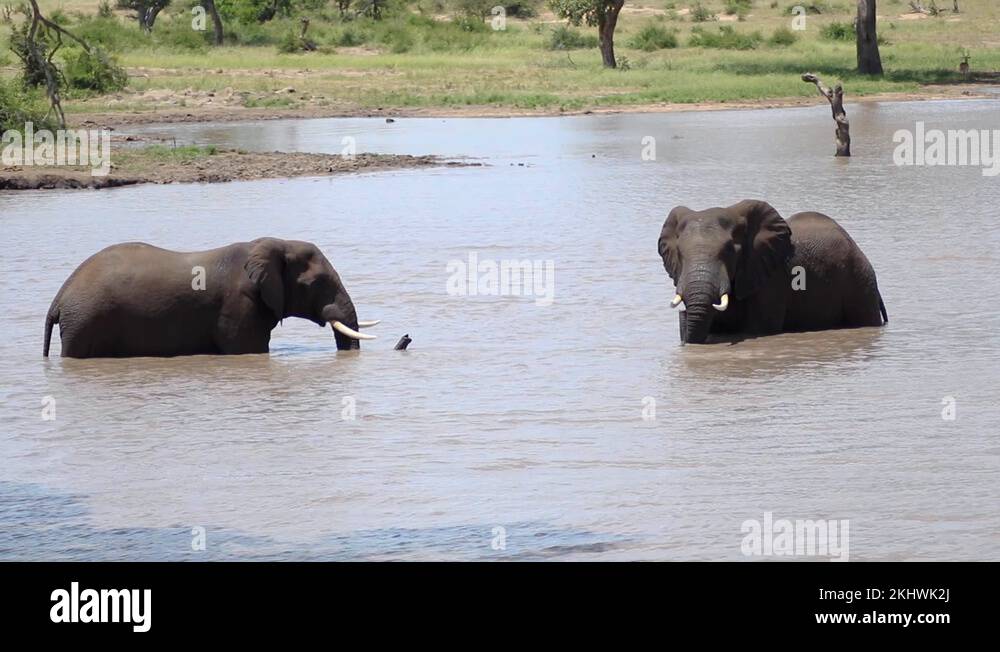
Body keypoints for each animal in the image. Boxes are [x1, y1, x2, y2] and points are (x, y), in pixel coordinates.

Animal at [657, 200, 887, 344]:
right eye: (680, 254)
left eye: (730, 251)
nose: (682, 313)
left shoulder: (772, 280)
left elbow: (757, 328)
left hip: (860, 280)